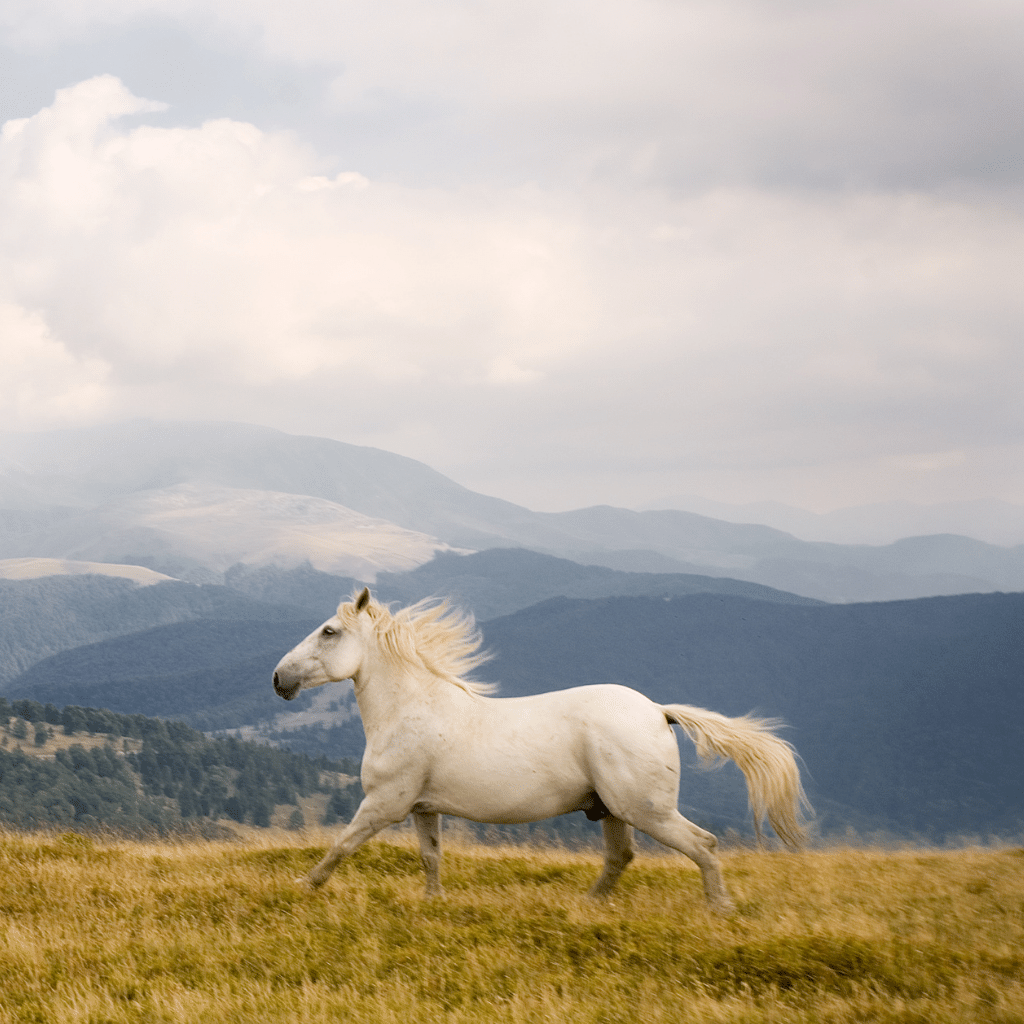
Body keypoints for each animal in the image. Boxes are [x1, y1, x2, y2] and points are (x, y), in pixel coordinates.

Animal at [272, 588, 810, 913]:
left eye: (329, 631)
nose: (279, 679)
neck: (411, 709)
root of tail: (658, 711)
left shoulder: (384, 804)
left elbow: (341, 845)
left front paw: (301, 888)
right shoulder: (423, 808)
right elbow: (431, 857)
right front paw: (433, 903)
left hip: (646, 809)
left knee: (703, 845)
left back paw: (719, 909)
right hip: (612, 810)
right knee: (622, 857)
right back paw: (587, 907)